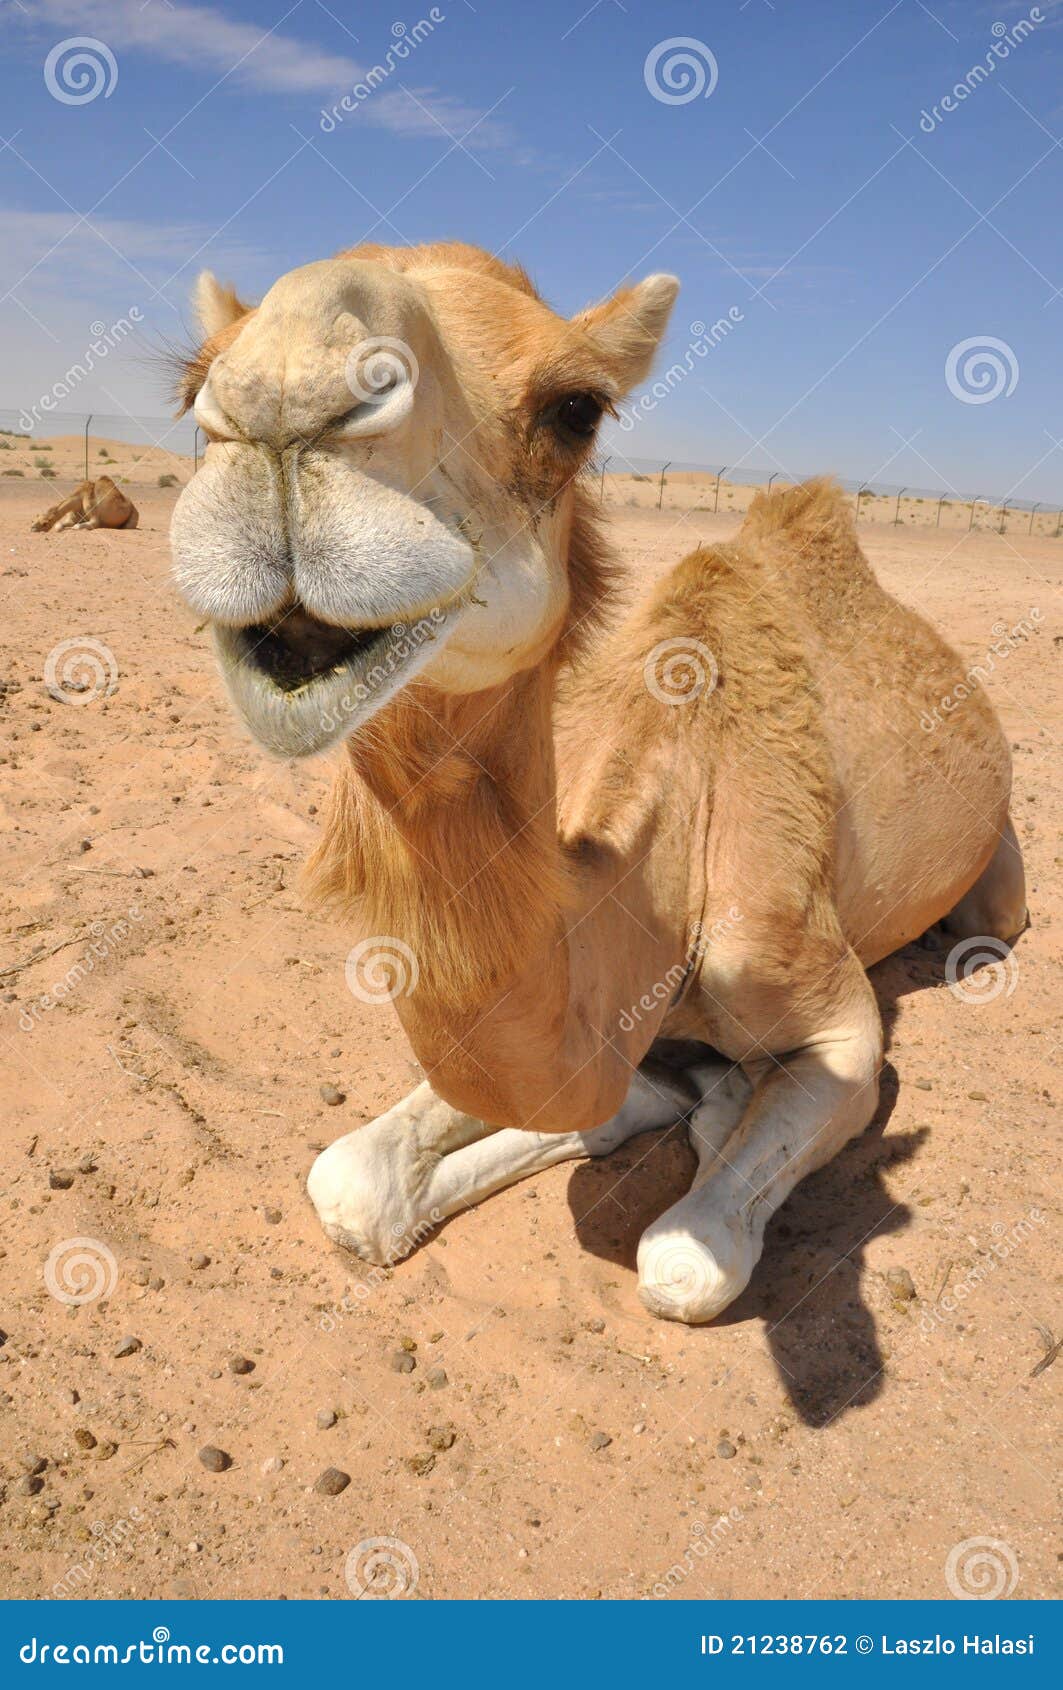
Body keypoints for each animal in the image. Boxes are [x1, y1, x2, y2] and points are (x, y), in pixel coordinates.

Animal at [169, 242, 1026, 1325]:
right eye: (193, 387)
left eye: (576, 407)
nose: (280, 399)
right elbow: (351, 1181)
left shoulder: (837, 1024)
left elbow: (683, 1263)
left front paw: (706, 1113)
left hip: (994, 891)